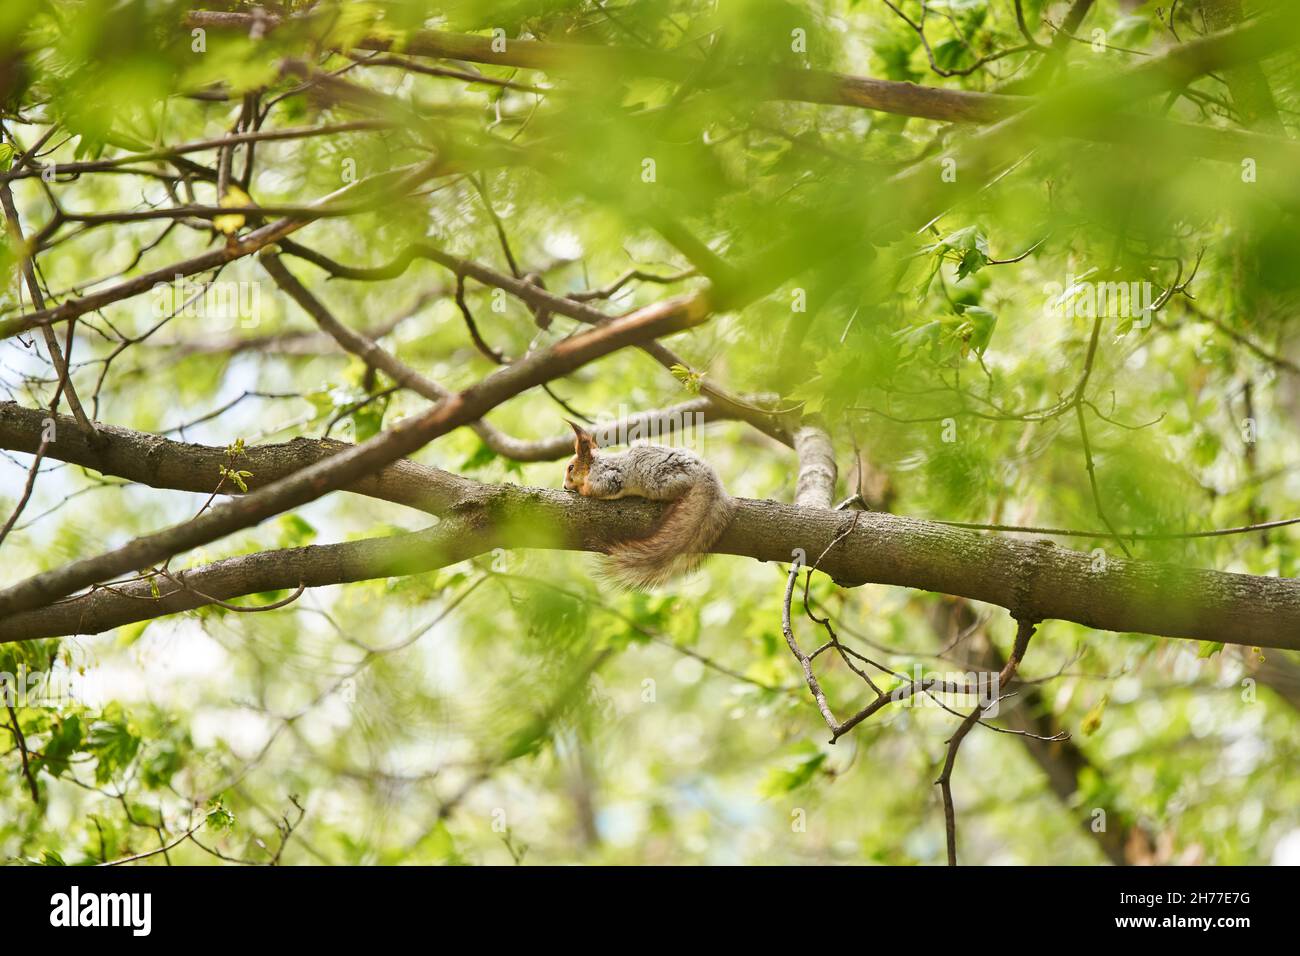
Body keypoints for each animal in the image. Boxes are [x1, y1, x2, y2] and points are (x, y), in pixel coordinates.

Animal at [563, 420, 735, 589]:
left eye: (571, 467)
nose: (564, 486)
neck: (594, 465)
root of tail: (706, 475)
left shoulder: (607, 478)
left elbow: (595, 489)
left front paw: (580, 489)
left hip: (662, 481)